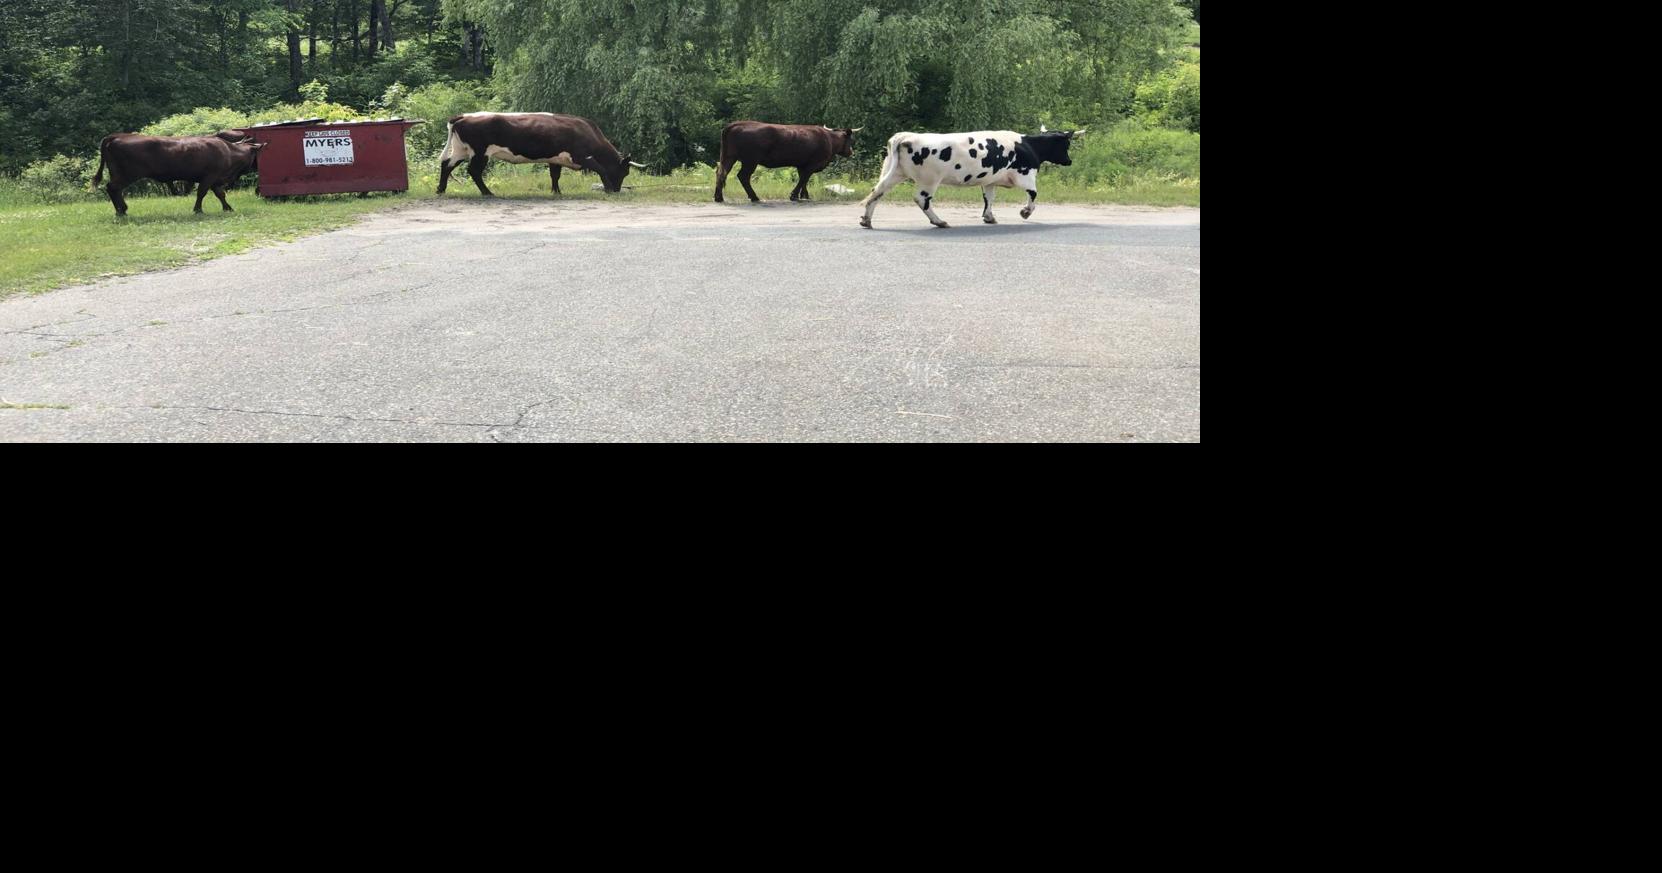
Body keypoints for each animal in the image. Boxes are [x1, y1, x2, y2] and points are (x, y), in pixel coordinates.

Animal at [93, 133, 267, 216]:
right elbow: (202, 193)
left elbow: (220, 194)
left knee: (114, 190)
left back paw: (122, 209)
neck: (229, 151)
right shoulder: (209, 177)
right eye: (257, 155)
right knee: (113, 188)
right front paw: (198, 210)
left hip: (118, 174)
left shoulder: (215, 179)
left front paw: (227, 208)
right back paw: (121, 210)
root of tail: (117, 136)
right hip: (127, 175)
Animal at [437, 112, 644, 197]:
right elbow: (600, 168)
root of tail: (464, 116)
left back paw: (441, 189)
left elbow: (555, 175)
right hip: (480, 153)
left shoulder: (556, 159)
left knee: (447, 165)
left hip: (461, 150)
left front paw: (556, 192)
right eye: (624, 172)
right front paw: (607, 188)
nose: (617, 190)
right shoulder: (580, 157)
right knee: (474, 171)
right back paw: (488, 193)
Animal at [715, 122, 861, 203]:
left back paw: (718, 197)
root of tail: (737, 124)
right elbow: (804, 179)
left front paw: (804, 195)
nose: (851, 152)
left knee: (721, 173)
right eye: (851, 140)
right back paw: (755, 197)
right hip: (750, 161)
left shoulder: (802, 164)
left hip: (728, 157)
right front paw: (794, 195)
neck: (829, 139)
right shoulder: (812, 164)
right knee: (743, 176)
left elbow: (804, 180)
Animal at [858, 127, 1083, 229]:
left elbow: (989, 199)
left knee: (876, 192)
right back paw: (939, 221)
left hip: (894, 173)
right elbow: (1034, 194)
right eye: (1066, 145)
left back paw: (866, 220)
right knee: (922, 199)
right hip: (929, 180)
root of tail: (906, 136)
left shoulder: (989, 180)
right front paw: (1025, 212)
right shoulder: (1026, 175)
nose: (1070, 160)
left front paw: (989, 217)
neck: (1028, 145)